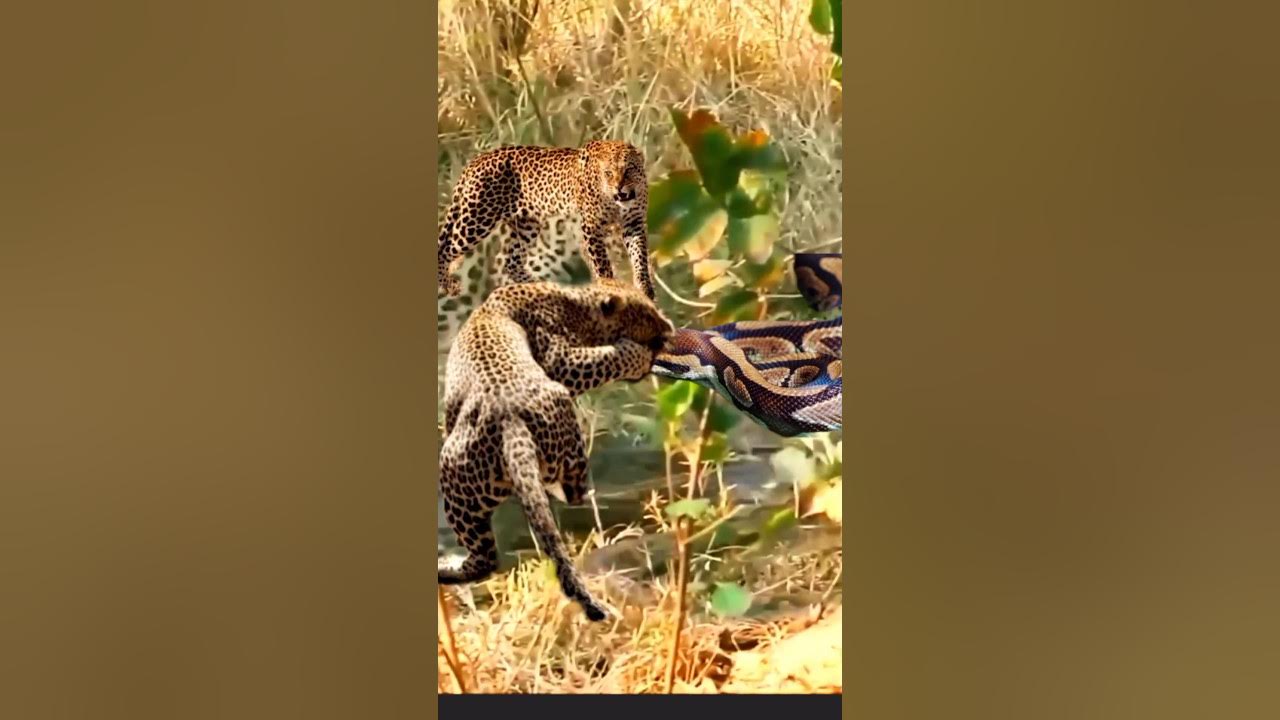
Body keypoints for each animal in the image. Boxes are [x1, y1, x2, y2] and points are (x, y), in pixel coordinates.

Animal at [436, 140, 655, 306]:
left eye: (629, 170)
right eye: (608, 173)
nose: (619, 188)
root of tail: (477, 160)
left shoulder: (634, 224)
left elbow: (639, 258)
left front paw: (645, 290)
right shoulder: (591, 227)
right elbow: (602, 265)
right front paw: (612, 289)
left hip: (526, 225)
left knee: (510, 261)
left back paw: (539, 286)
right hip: (477, 218)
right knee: (444, 251)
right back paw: (449, 286)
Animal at [438, 278, 673, 621]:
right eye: (646, 314)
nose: (669, 328)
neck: (576, 308)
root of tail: (510, 423)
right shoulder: (559, 359)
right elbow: (610, 356)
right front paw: (638, 355)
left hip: (458, 477)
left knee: (486, 557)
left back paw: (446, 569)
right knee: (570, 493)